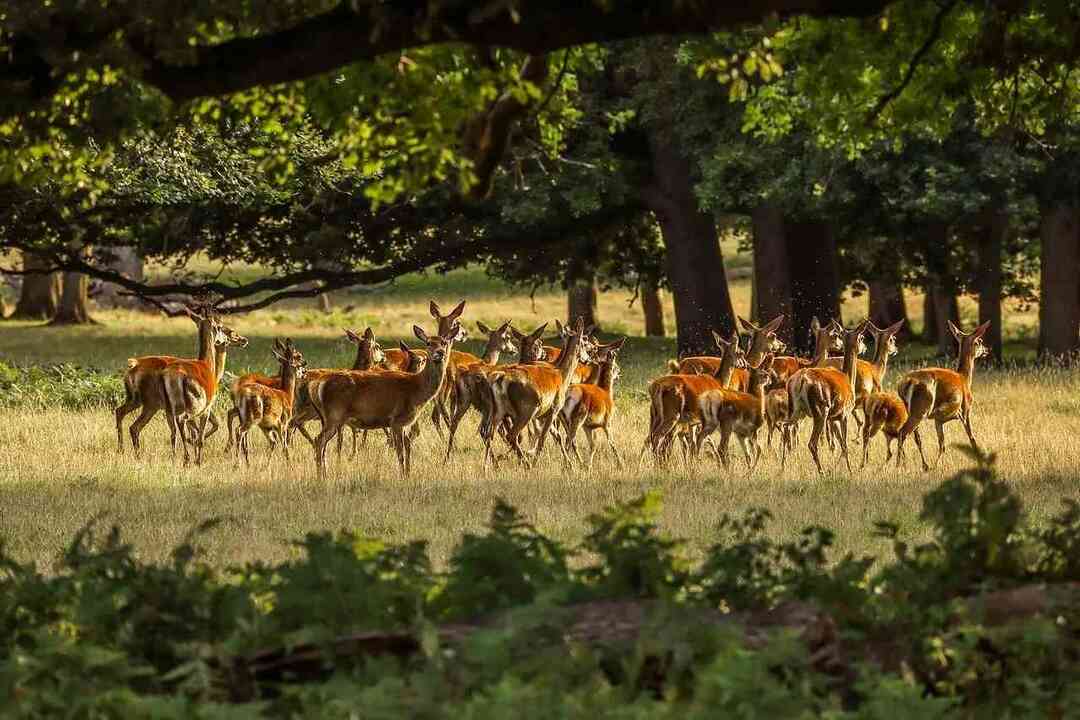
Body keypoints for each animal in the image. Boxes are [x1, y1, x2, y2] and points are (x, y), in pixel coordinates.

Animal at [308, 321, 460, 479]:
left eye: (444, 342)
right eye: (428, 343)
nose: (440, 353)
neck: (416, 389)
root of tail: (319, 384)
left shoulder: (405, 423)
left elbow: (407, 449)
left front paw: (408, 474)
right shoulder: (397, 420)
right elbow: (400, 452)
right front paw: (402, 476)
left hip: (329, 418)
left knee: (322, 444)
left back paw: (324, 474)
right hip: (335, 415)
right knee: (319, 441)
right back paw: (321, 477)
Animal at [488, 317, 596, 468]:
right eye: (584, 342)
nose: (588, 358)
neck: (562, 375)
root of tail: (500, 379)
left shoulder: (543, 414)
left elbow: (556, 436)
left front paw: (570, 464)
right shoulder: (554, 409)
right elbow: (544, 437)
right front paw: (536, 462)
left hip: (499, 411)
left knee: (489, 434)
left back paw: (492, 464)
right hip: (526, 410)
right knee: (512, 435)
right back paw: (526, 463)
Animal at [552, 336, 630, 468]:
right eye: (615, 364)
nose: (619, 372)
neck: (606, 392)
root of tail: (568, 395)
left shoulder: (588, 426)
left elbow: (593, 445)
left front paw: (589, 466)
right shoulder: (607, 422)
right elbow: (612, 443)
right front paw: (621, 464)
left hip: (565, 419)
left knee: (567, 439)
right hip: (578, 417)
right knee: (569, 440)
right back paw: (568, 466)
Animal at [786, 317, 868, 474]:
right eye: (861, 337)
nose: (865, 348)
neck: (848, 379)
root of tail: (801, 381)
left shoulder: (833, 418)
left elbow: (837, 443)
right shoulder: (844, 414)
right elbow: (844, 444)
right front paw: (850, 470)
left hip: (796, 409)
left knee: (786, 429)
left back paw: (784, 467)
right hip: (820, 410)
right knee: (812, 442)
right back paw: (822, 471)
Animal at [889, 321, 989, 472]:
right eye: (979, 341)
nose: (987, 350)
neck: (964, 379)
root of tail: (906, 383)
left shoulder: (938, 420)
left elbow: (942, 444)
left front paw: (935, 466)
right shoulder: (965, 410)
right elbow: (971, 437)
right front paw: (979, 462)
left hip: (910, 410)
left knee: (914, 437)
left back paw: (921, 465)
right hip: (921, 410)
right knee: (903, 433)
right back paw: (899, 466)